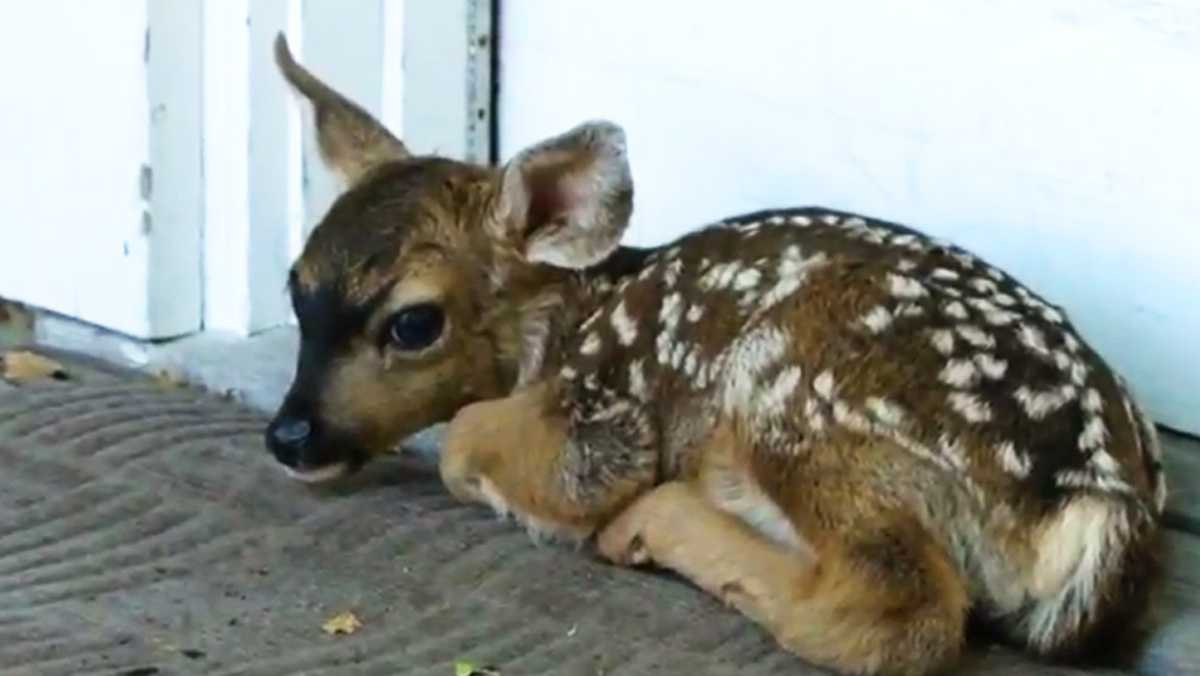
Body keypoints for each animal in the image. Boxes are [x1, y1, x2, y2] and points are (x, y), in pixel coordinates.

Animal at [264, 34, 1166, 676]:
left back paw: (656, 523)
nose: (288, 436)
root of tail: (1096, 506)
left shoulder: (604, 416)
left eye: (414, 323)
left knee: (898, 614)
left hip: (797, 393)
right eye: (294, 286)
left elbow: (470, 441)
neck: (568, 325)